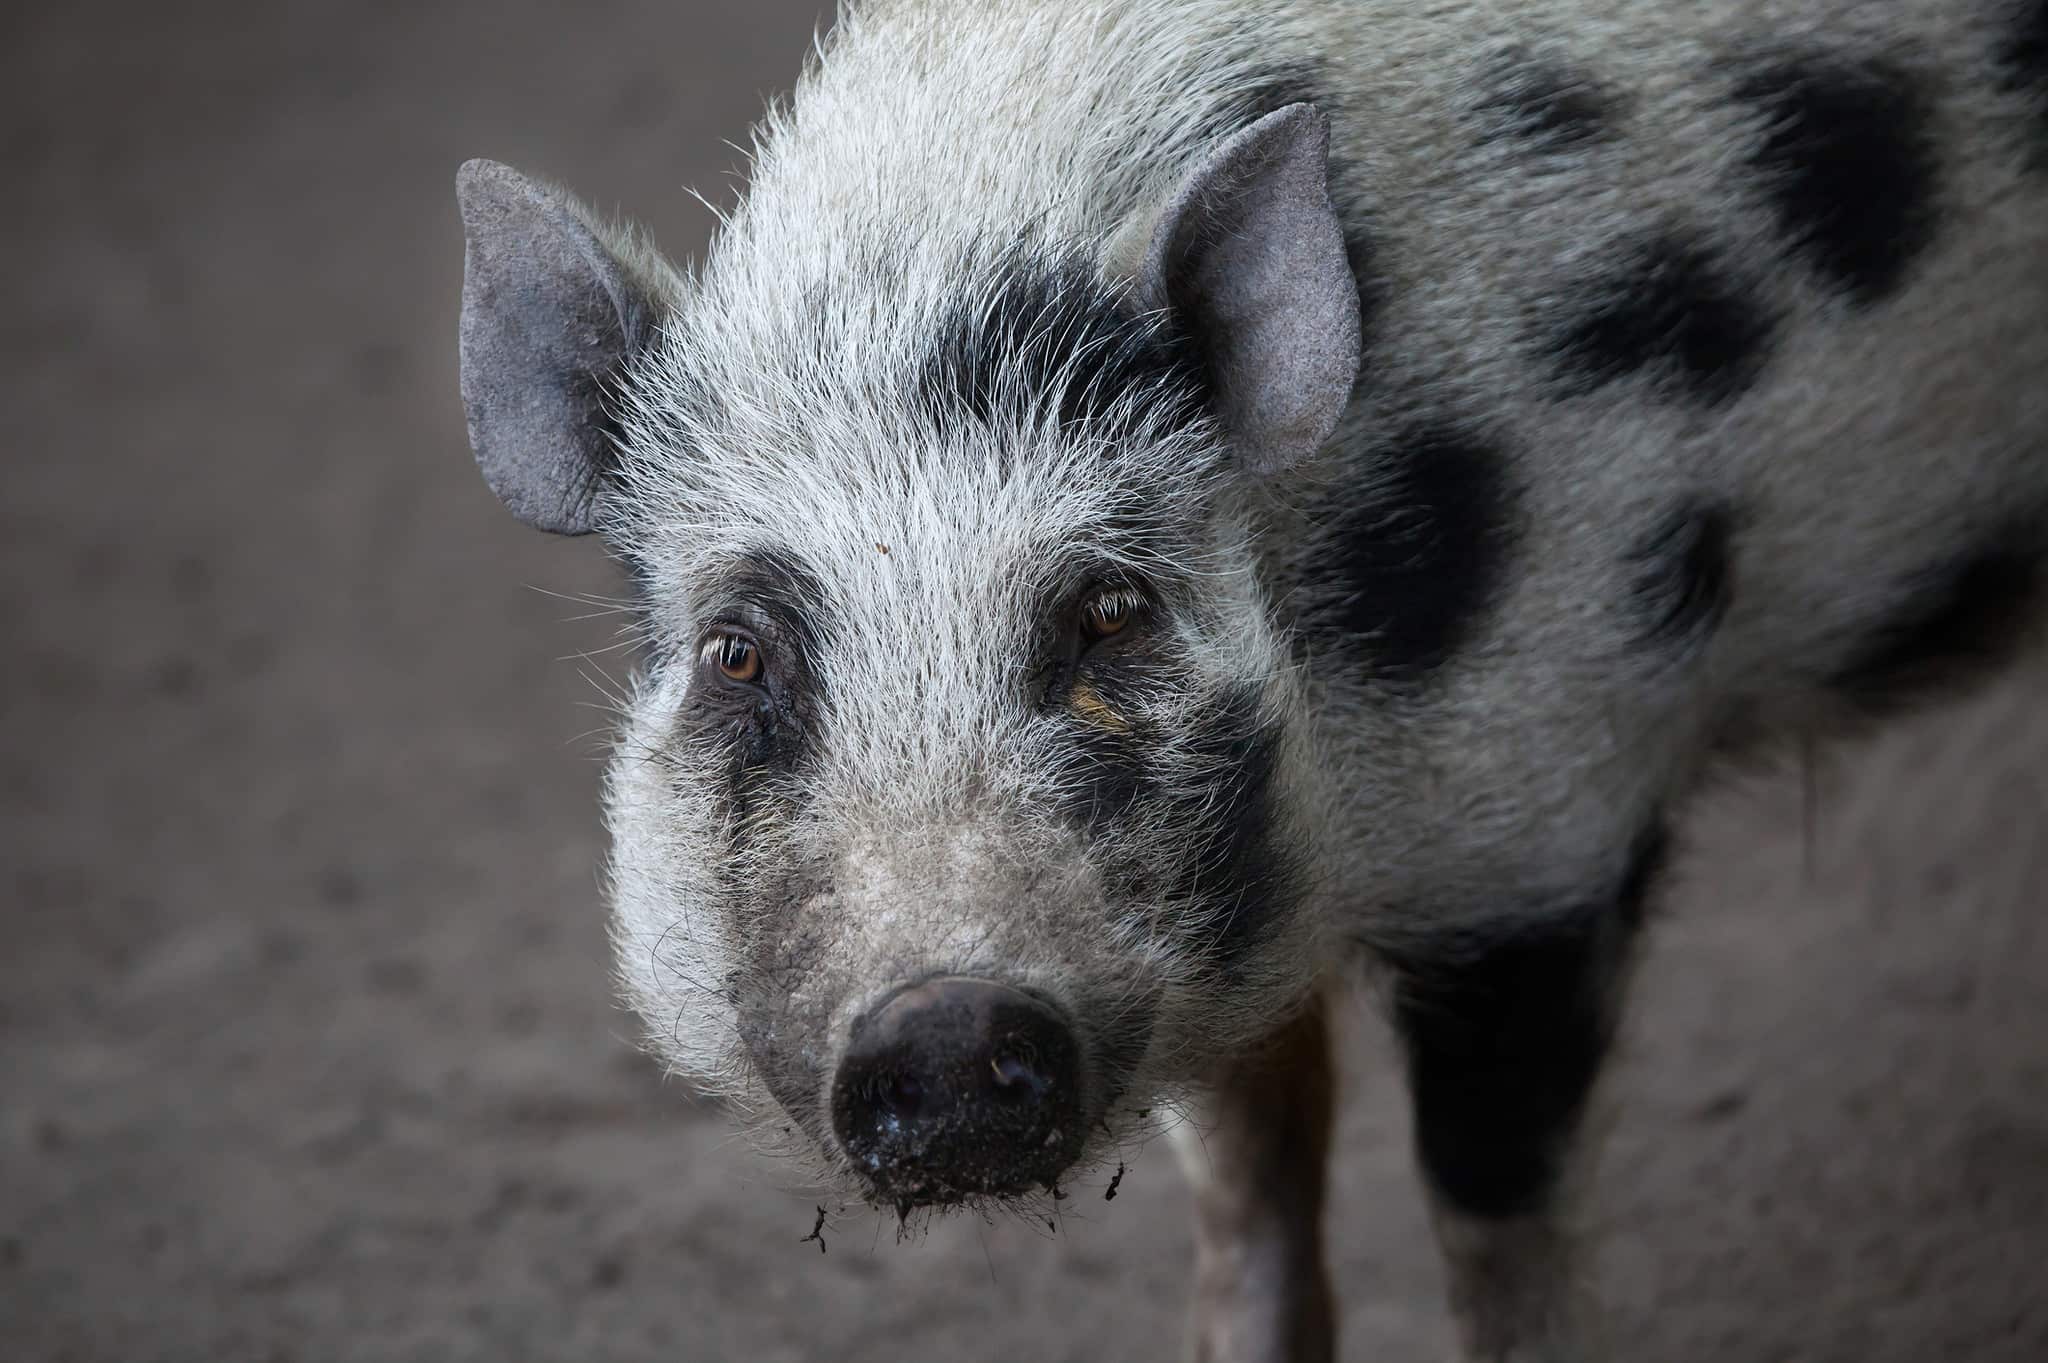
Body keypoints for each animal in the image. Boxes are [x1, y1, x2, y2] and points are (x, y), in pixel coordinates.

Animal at [451, 0, 2048, 1357]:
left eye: (1109, 608)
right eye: (738, 651)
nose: (945, 1020)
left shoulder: (1549, 813)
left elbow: (1494, 1219)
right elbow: (1251, 1191)